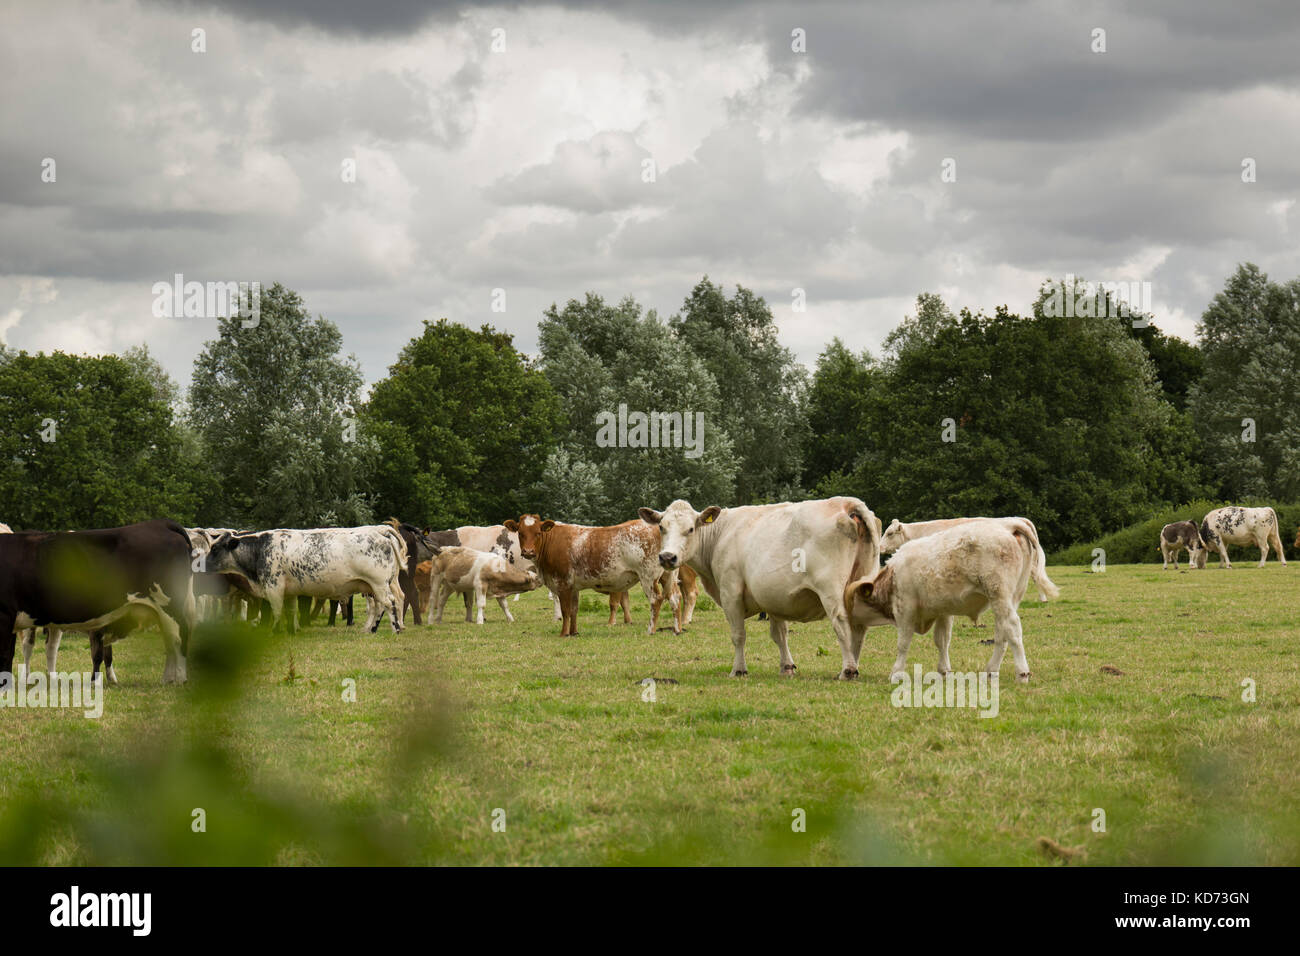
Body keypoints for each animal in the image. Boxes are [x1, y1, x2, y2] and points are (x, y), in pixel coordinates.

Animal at [0, 519, 195, 685]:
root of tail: (160, 523)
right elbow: (8, 654)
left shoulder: (5, 614)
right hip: (161, 611)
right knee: (170, 640)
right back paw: (167, 679)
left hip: (169, 606)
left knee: (179, 637)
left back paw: (179, 680)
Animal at [202, 526, 407, 633]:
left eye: (215, 548)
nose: (201, 565)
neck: (261, 549)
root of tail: (380, 532)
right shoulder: (290, 591)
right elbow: (292, 611)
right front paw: (293, 630)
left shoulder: (274, 588)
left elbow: (277, 611)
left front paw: (275, 631)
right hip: (372, 587)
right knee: (379, 606)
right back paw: (370, 629)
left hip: (379, 584)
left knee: (390, 603)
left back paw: (395, 629)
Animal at [507, 515, 681, 638]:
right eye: (520, 533)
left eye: (538, 533)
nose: (528, 551)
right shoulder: (573, 587)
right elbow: (574, 610)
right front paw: (574, 632)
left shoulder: (563, 583)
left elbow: (565, 610)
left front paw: (564, 633)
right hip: (667, 575)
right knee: (674, 598)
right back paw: (677, 629)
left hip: (648, 576)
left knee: (656, 600)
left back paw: (651, 630)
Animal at [639, 497, 880, 679]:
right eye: (661, 527)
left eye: (690, 529)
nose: (667, 557)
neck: (720, 535)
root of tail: (846, 503)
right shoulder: (775, 599)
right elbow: (780, 634)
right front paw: (787, 667)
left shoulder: (731, 592)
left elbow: (738, 635)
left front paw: (738, 670)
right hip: (860, 586)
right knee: (859, 628)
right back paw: (854, 665)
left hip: (831, 591)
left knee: (842, 624)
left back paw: (848, 670)